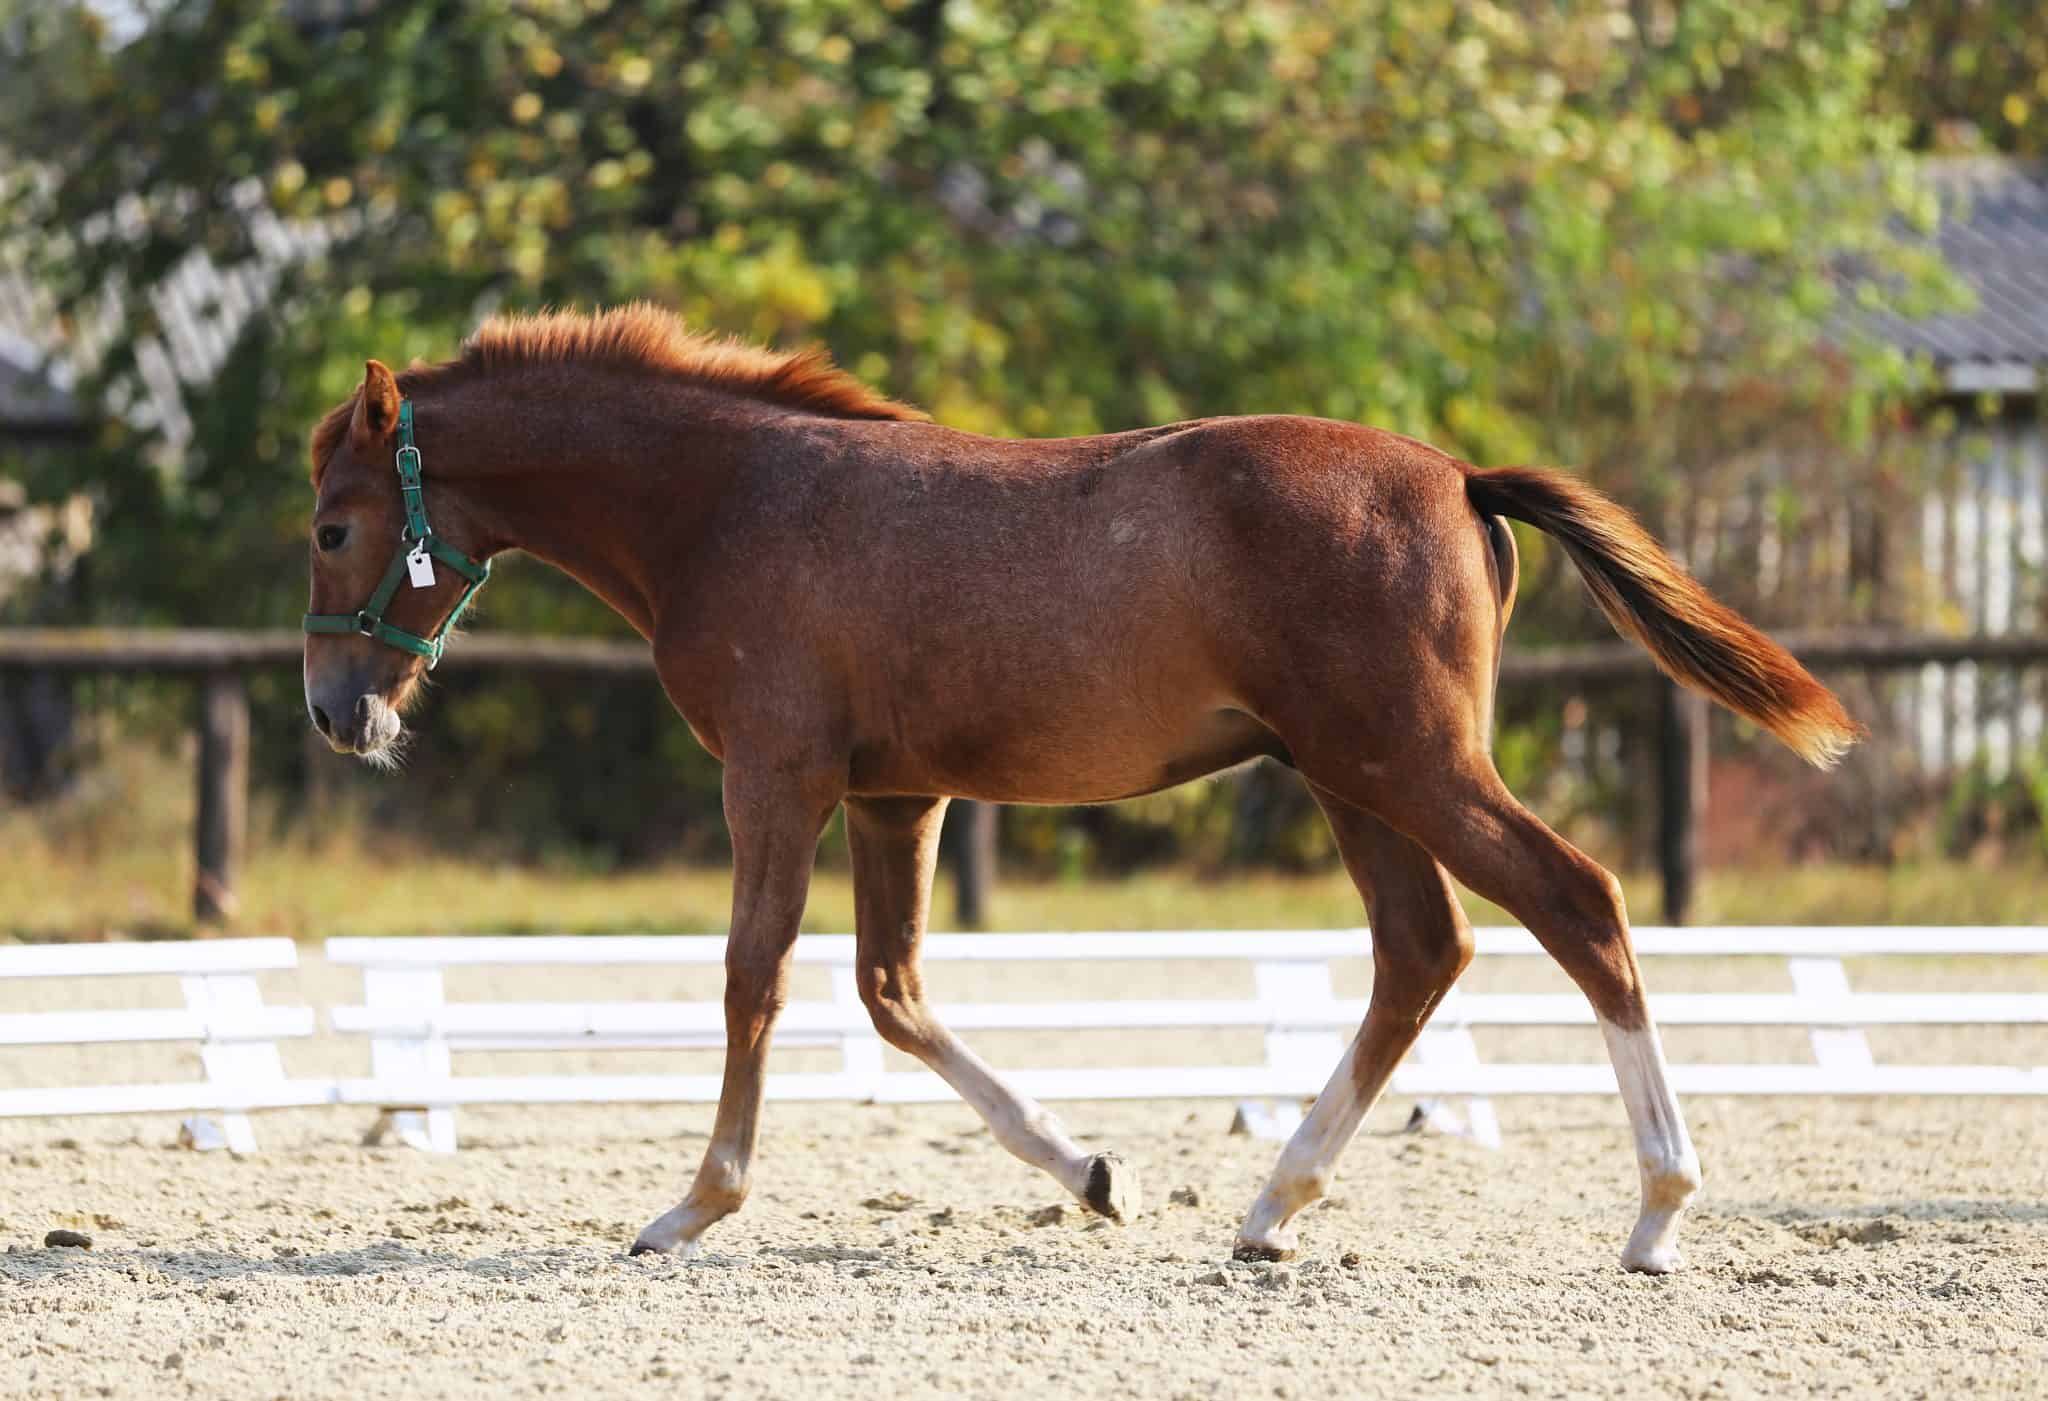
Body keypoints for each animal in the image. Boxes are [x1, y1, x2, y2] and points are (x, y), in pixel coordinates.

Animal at [303, 305, 1856, 1272]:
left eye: (330, 526)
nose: (337, 715)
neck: (728, 498)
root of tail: (1460, 475)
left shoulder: (779, 775)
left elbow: (756, 977)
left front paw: (693, 1208)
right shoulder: (897, 797)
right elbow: (892, 994)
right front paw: (1093, 1176)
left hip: (1408, 763)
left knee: (1574, 904)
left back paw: (1657, 1211)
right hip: (1350, 775)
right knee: (1423, 950)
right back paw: (1272, 1208)